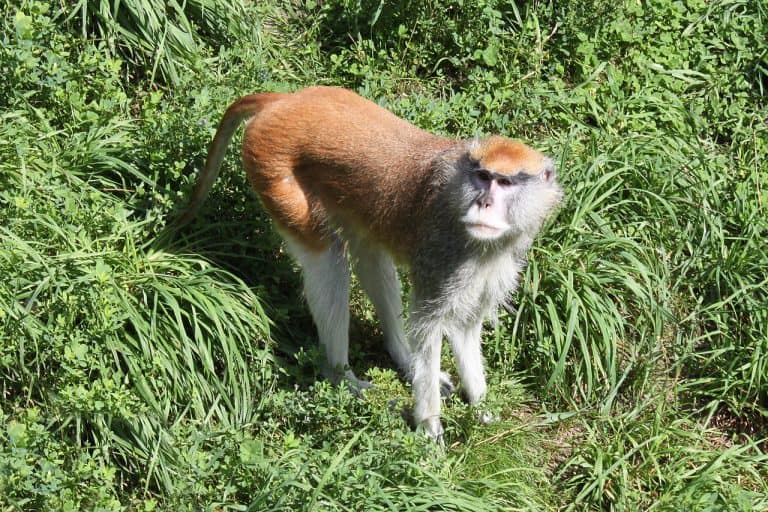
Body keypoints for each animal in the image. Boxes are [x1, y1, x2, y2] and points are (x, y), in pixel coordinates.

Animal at [176, 86, 562, 441]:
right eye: (483, 177)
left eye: (505, 182)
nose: (483, 203)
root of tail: (284, 100)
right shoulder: (442, 256)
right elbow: (429, 327)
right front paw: (430, 428)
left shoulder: (494, 260)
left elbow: (466, 327)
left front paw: (482, 407)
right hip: (274, 173)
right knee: (328, 259)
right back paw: (343, 378)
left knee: (369, 254)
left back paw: (402, 359)